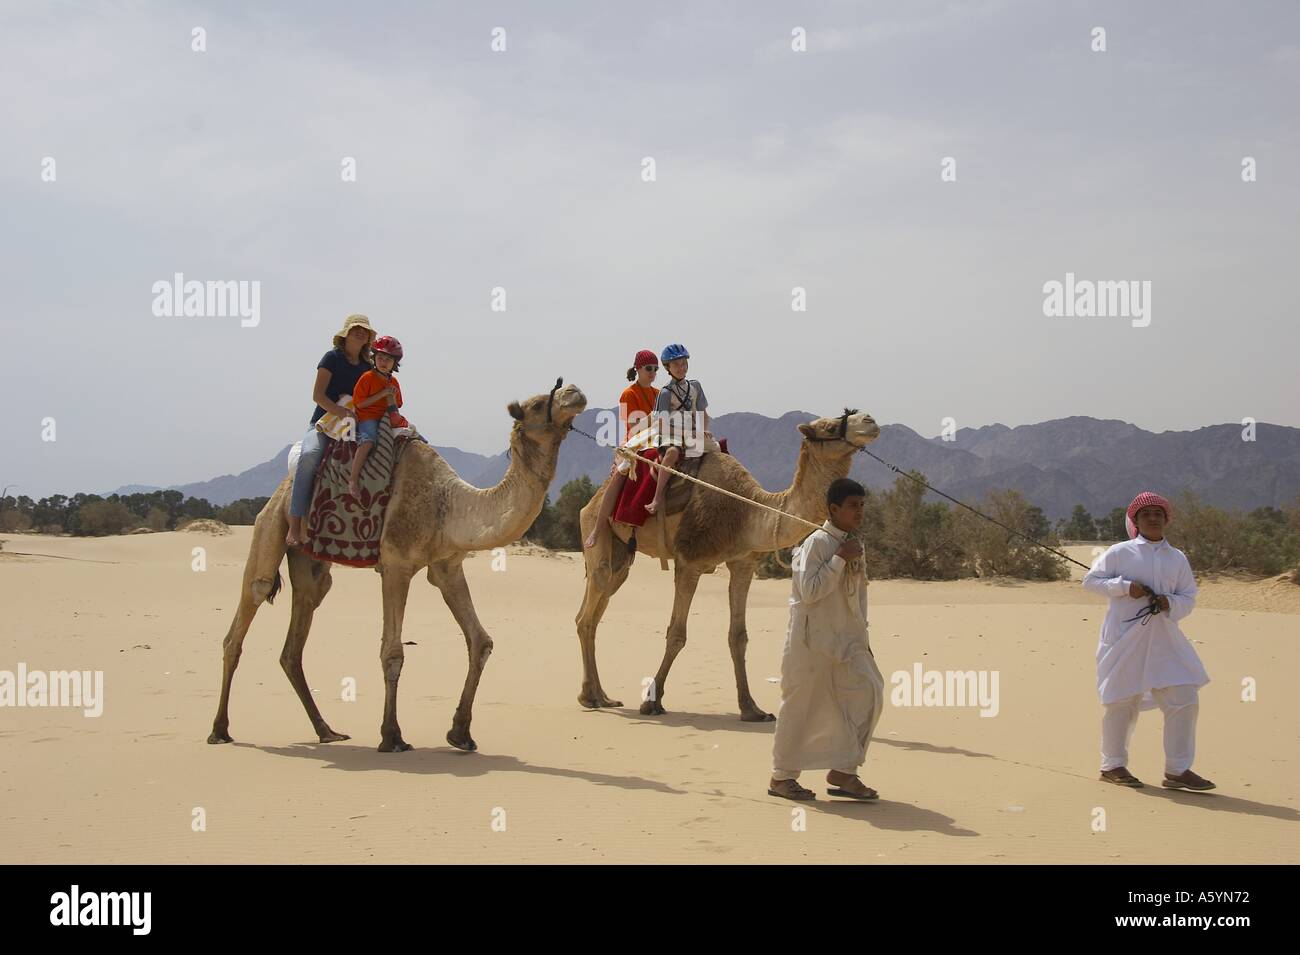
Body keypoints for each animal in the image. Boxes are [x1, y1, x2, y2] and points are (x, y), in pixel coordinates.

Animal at [208, 382, 588, 753]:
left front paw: (460, 732)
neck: (449, 505)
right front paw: (391, 736)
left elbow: (480, 641)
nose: (574, 392)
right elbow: (392, 652)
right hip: (271, 524)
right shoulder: (396, 565)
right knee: (245, 612)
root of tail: (281, 489)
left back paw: (326, 731)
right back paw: (219, 730)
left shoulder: (447, 567)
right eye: (537, 404)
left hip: (309, 562)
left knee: (295, 640)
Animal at [575, 410, 880, 720]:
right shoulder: (690, 561)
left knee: (595, 611)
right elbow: (676, 634)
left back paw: (601, 695)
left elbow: (738, 636)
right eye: (830, 426)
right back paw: (591, 697)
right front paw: (652, 701)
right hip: (597, 535)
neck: (746, 511)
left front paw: (751, 708)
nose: (868, 420)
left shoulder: (742, 563)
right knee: (587, 615)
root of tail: (592, 501)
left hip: (620, 559)